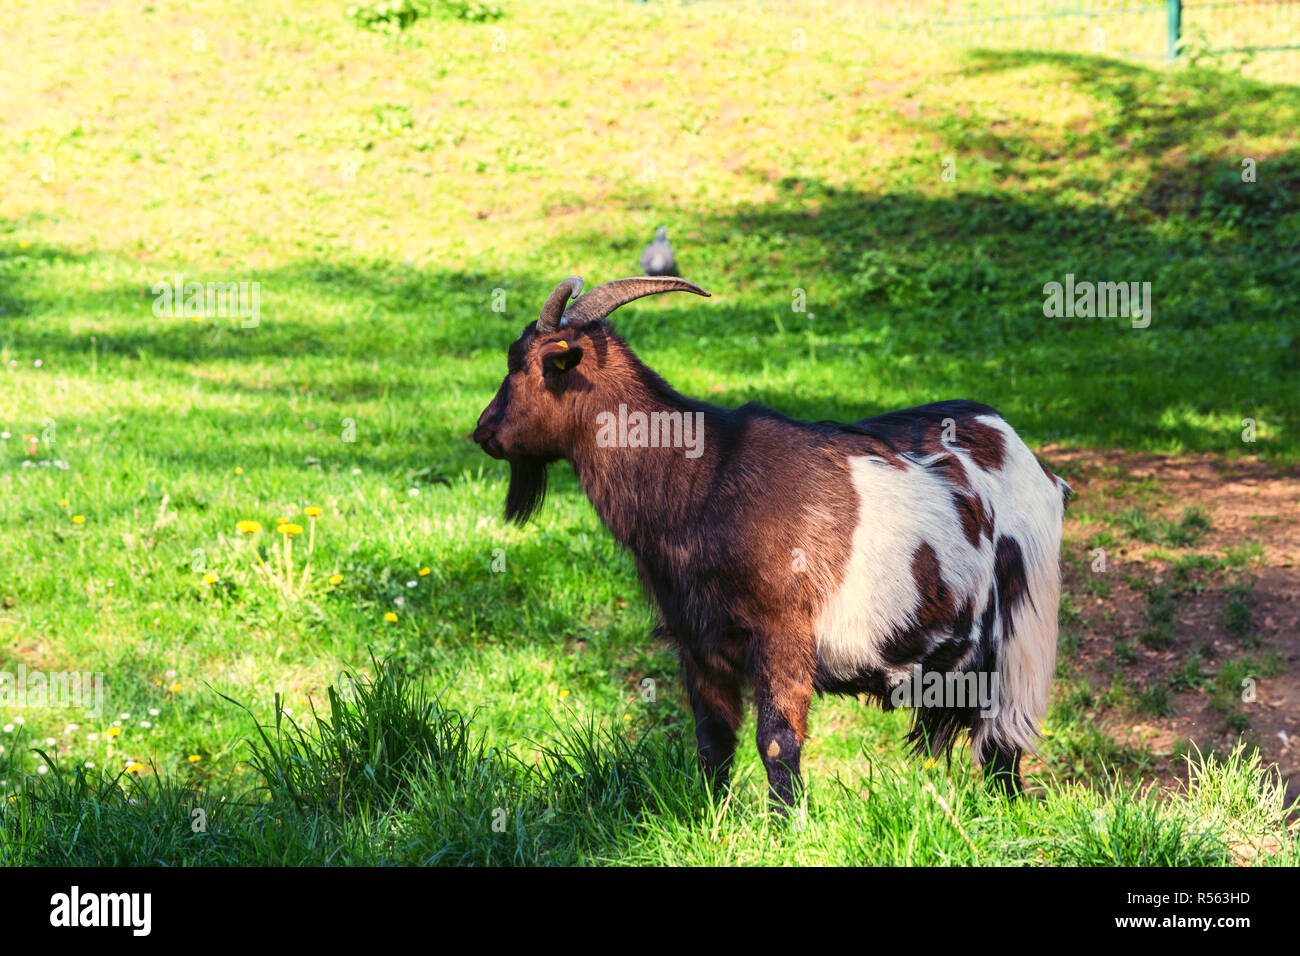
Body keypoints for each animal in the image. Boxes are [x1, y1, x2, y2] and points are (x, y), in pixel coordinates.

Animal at [473, 276, 1069, 808]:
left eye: (525, 364)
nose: (483, 432)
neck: (702, 478)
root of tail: (1026, 455)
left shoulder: (783, 632)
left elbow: (778, 741)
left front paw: (787, 827)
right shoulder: (698, 641)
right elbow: (713, 742)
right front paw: (710, 820)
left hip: (1023, 629)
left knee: (1004, 739)